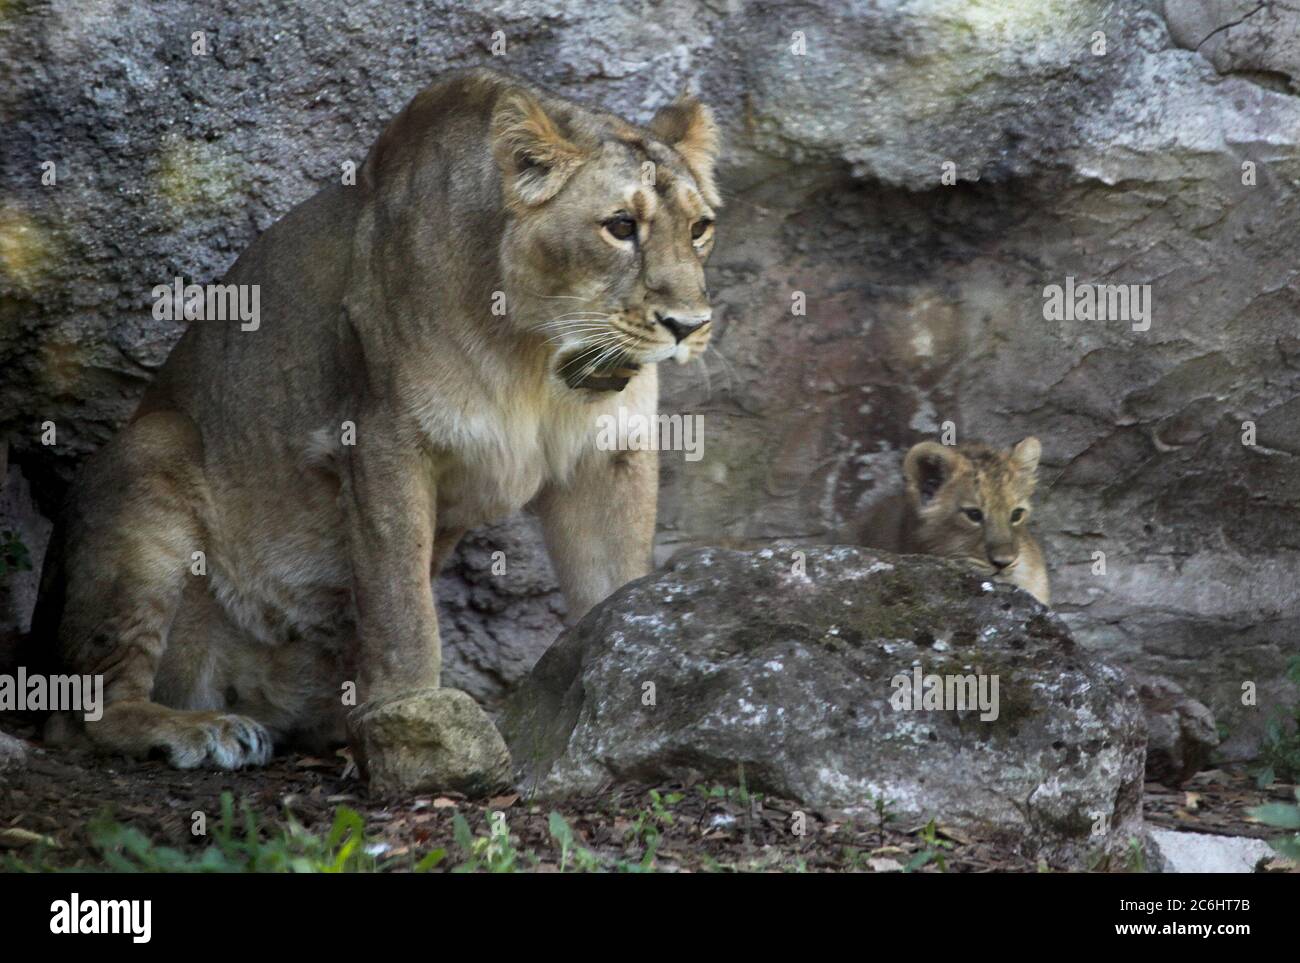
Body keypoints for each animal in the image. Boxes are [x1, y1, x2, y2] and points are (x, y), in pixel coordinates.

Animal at [31, 68, 722, 776]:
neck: (537, 356)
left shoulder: (610, 452)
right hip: (154, 443)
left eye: (700, 228)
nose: (689, 325)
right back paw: (207, 730)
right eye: (620, 226)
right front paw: (418, 726)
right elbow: (401, 603)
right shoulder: (383, 439)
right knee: (84, 714)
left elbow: (617, 588)